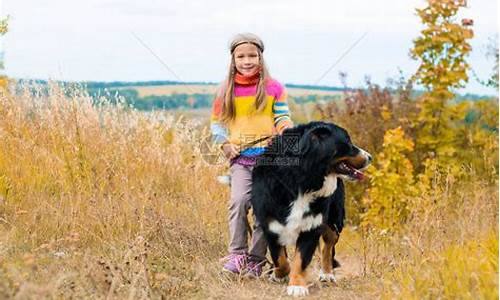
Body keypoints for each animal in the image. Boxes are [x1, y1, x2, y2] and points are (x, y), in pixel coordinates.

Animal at [250, 120, 372, 296]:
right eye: (348, 142)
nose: (370, 157)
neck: (302, 180)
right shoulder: (271, 224)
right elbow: (280, 260)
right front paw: (278, 275)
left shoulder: (311, 225)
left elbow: (300, 260)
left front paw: (297, 286)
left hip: (334, 220)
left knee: (329, 246)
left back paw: (327, 274)